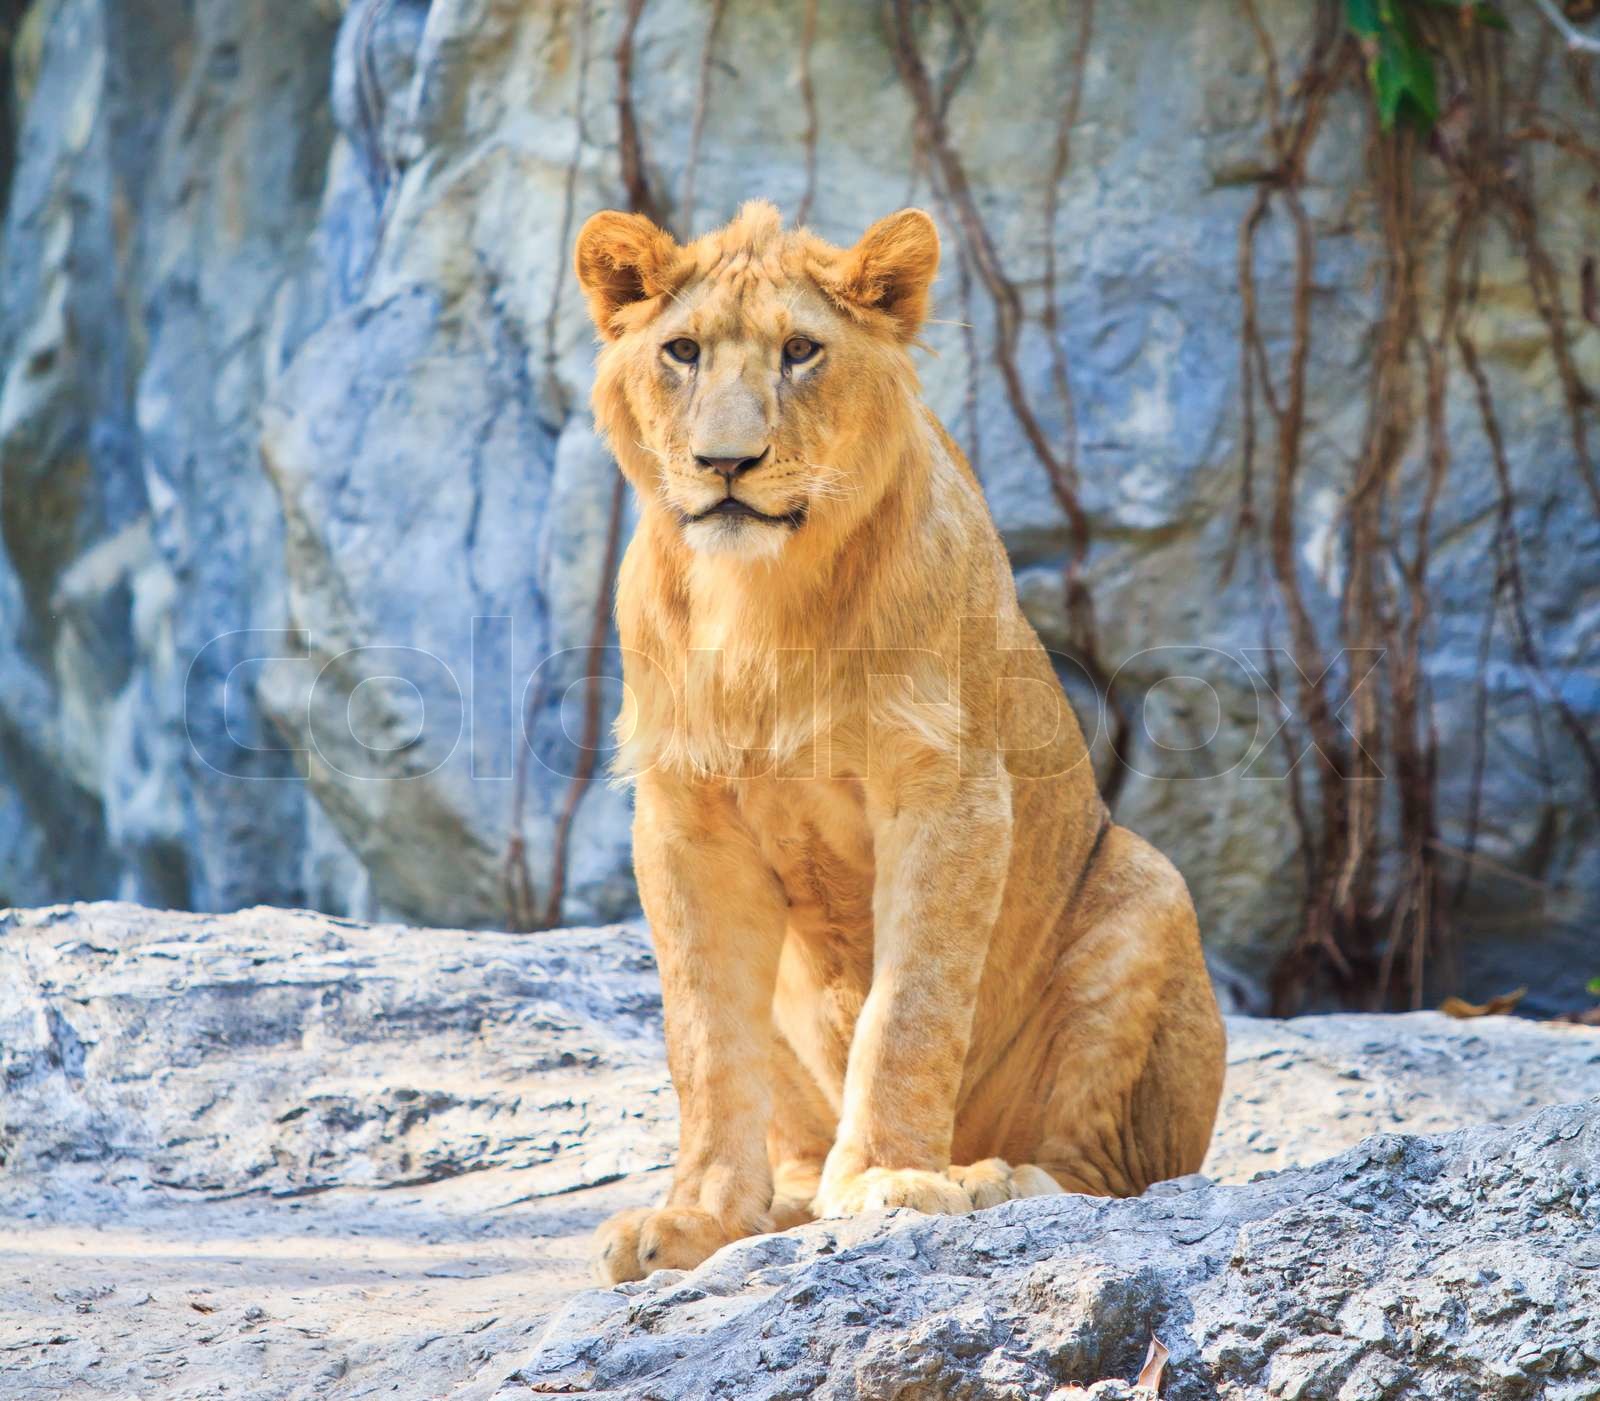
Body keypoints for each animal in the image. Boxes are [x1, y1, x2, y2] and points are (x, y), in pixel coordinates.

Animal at [573, 200, 1226, 1285]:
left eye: (801, 351)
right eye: (682, 351)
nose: (725, 463)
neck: (759, 605)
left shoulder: (950, 788)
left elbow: (911, 1003)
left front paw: (889, 1179)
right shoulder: (683, 813)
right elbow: (704, 1036)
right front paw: (696, 1217)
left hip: (1147, 891)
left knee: (1111, 1174)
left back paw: (991, 1178)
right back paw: (784, 1204)